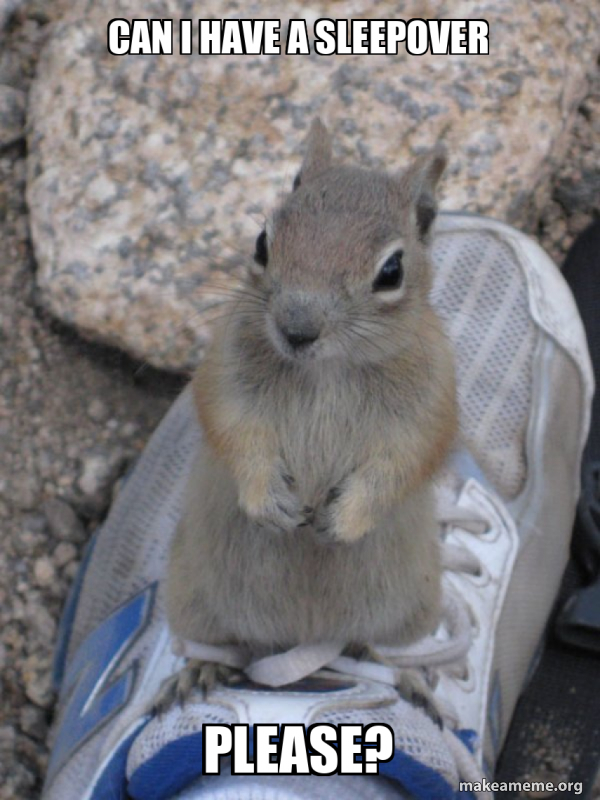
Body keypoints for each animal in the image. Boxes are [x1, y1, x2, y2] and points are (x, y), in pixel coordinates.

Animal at [163, 118, 457, 703]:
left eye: (392, 271)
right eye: (263, 241)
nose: (296, 329)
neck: (327, 369)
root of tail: (306, 634)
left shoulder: (429, 406)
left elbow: (401, 464)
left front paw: (345, 519)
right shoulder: (226, 377)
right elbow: (236, 433)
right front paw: (268, 500)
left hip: (413, 610)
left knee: (365, 645)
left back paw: (404, 678)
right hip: (190, 597)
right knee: (229, 646)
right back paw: (201, 671)